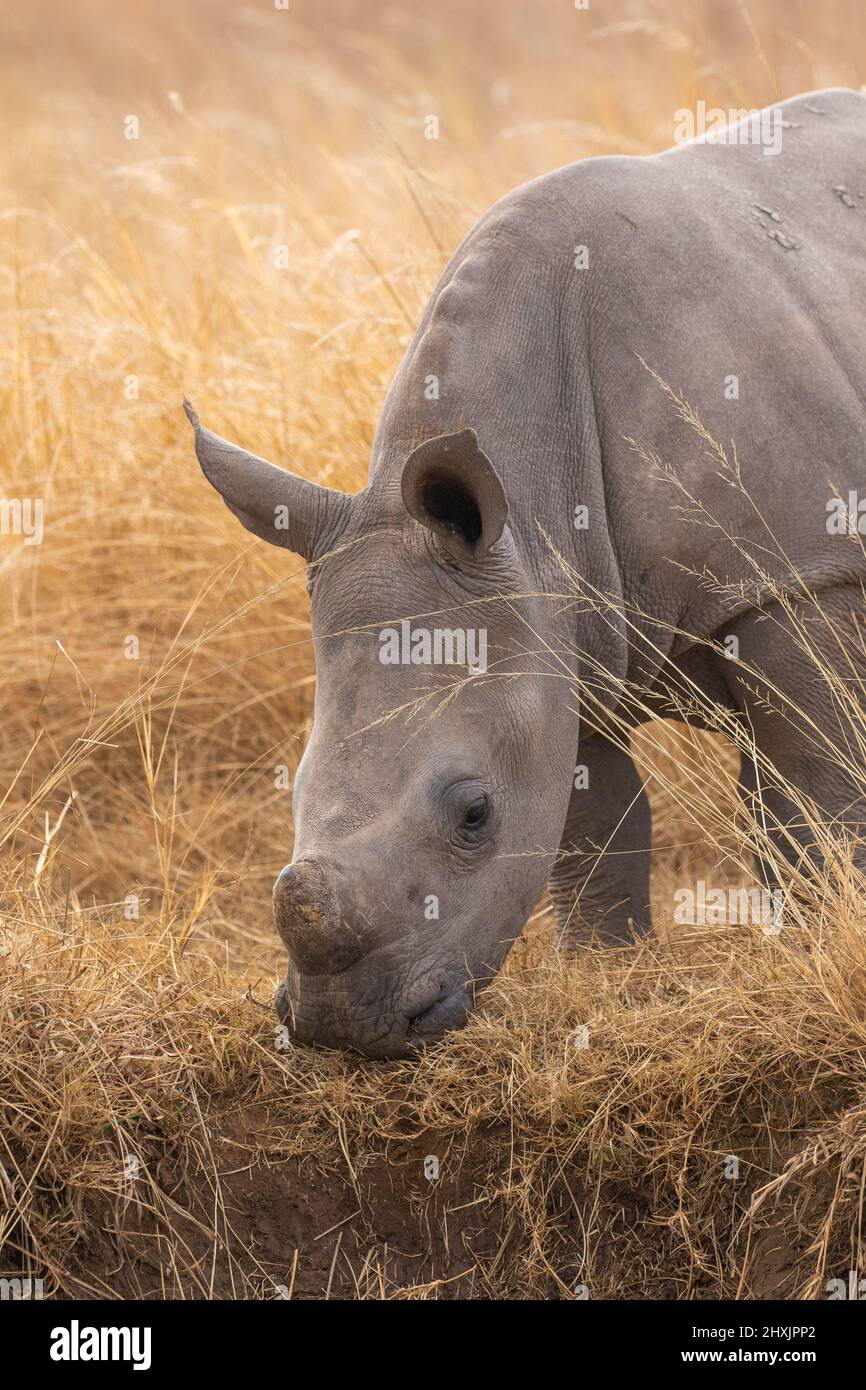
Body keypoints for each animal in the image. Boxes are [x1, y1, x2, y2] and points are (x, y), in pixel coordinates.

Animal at [186, 88, 866, 1057]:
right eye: (295, 794)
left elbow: (812, 795)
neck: (535, 492)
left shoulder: (792, 578)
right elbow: (593, 825)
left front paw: (815, 953)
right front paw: (609, 977)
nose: (343, 1028)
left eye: (474, 813)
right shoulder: (554, 627)